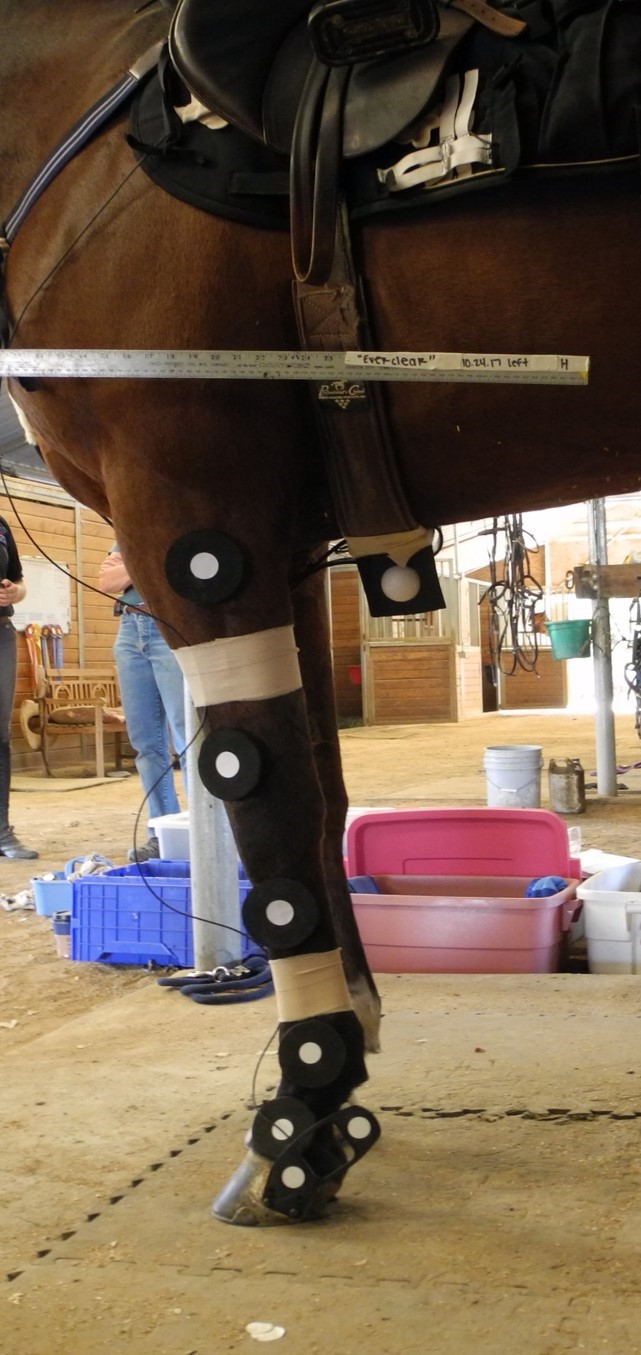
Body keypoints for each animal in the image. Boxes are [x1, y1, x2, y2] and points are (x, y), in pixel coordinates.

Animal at [2, 0, 640, 1226]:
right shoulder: (288, 548)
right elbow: (316, 787)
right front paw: (345, 1051)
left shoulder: (194, 517)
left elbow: (259, 789)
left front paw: (304, 1116)